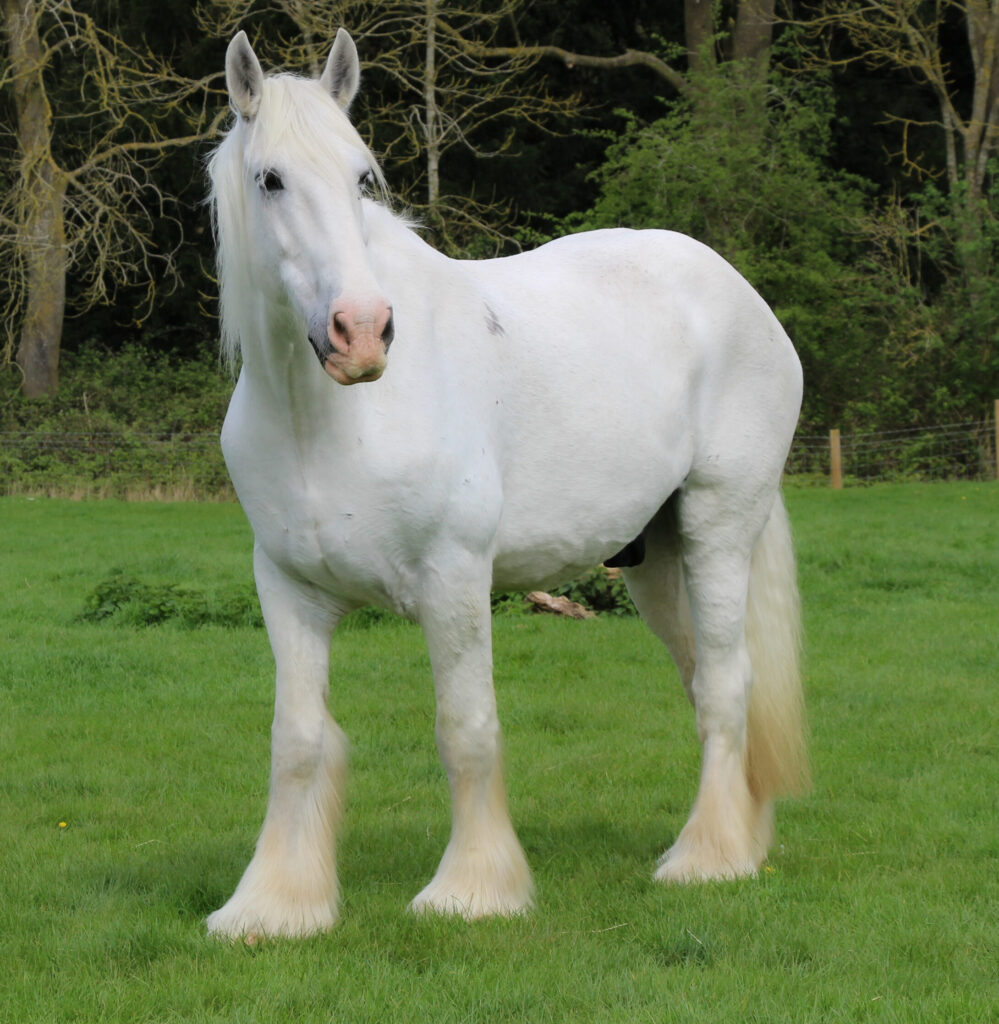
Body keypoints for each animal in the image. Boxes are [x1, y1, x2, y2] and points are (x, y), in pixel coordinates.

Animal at [205, 28, 808, 940]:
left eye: (361, 176)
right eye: (269, 178)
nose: (361, 333)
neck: (334, 420)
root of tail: (738, 292)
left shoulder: (453, 578)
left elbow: (466, 728)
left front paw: (471, 891)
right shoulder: (288, 589)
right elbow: (299, 740)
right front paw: (274, 906)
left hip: (717, 528)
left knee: (727, 682)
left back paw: (705, 859)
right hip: (655, 557)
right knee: (705, 681)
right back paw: (740, 838)